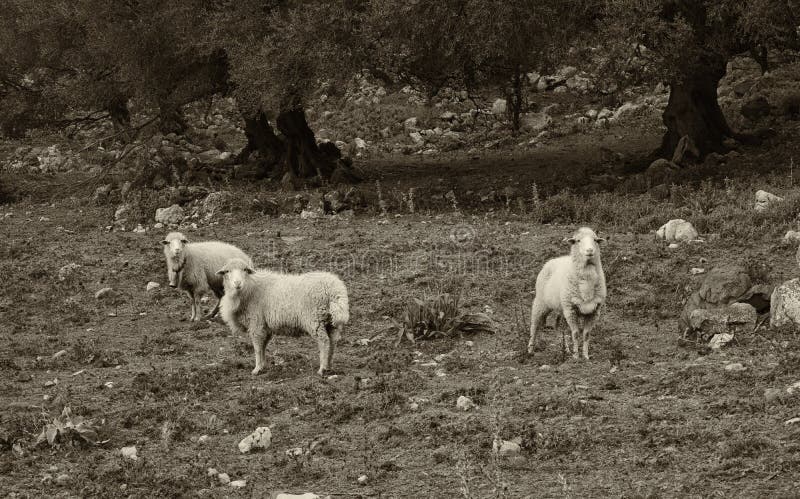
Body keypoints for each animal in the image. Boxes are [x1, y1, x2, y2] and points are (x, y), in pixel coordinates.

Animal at [216, 258, 349, 376]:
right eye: (227, 271)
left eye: (245, 270)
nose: (237, 283)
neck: (249, 289)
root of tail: (335, 289)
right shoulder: (265, 327)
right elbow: (263, 347)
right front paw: (263, 366)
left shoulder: (256, 324)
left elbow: (258, 348)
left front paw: (257, 369)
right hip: (330, 322)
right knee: (332, 342)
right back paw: (329, 365)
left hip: (314, 320)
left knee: (324, 342)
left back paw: (322, 369)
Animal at [527, 227, 607, 360]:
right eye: (578, 240)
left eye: (595, 240)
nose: (590, 250)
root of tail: (555, 259)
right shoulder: (571, 310)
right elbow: (575, 334)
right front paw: (576, 357)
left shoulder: (594, 311)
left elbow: (586, 334)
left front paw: (585, 356)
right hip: (540, 302)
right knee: (535, 325)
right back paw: (530, 350)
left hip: (561, 309)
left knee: (557, 327)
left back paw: (566, 350)